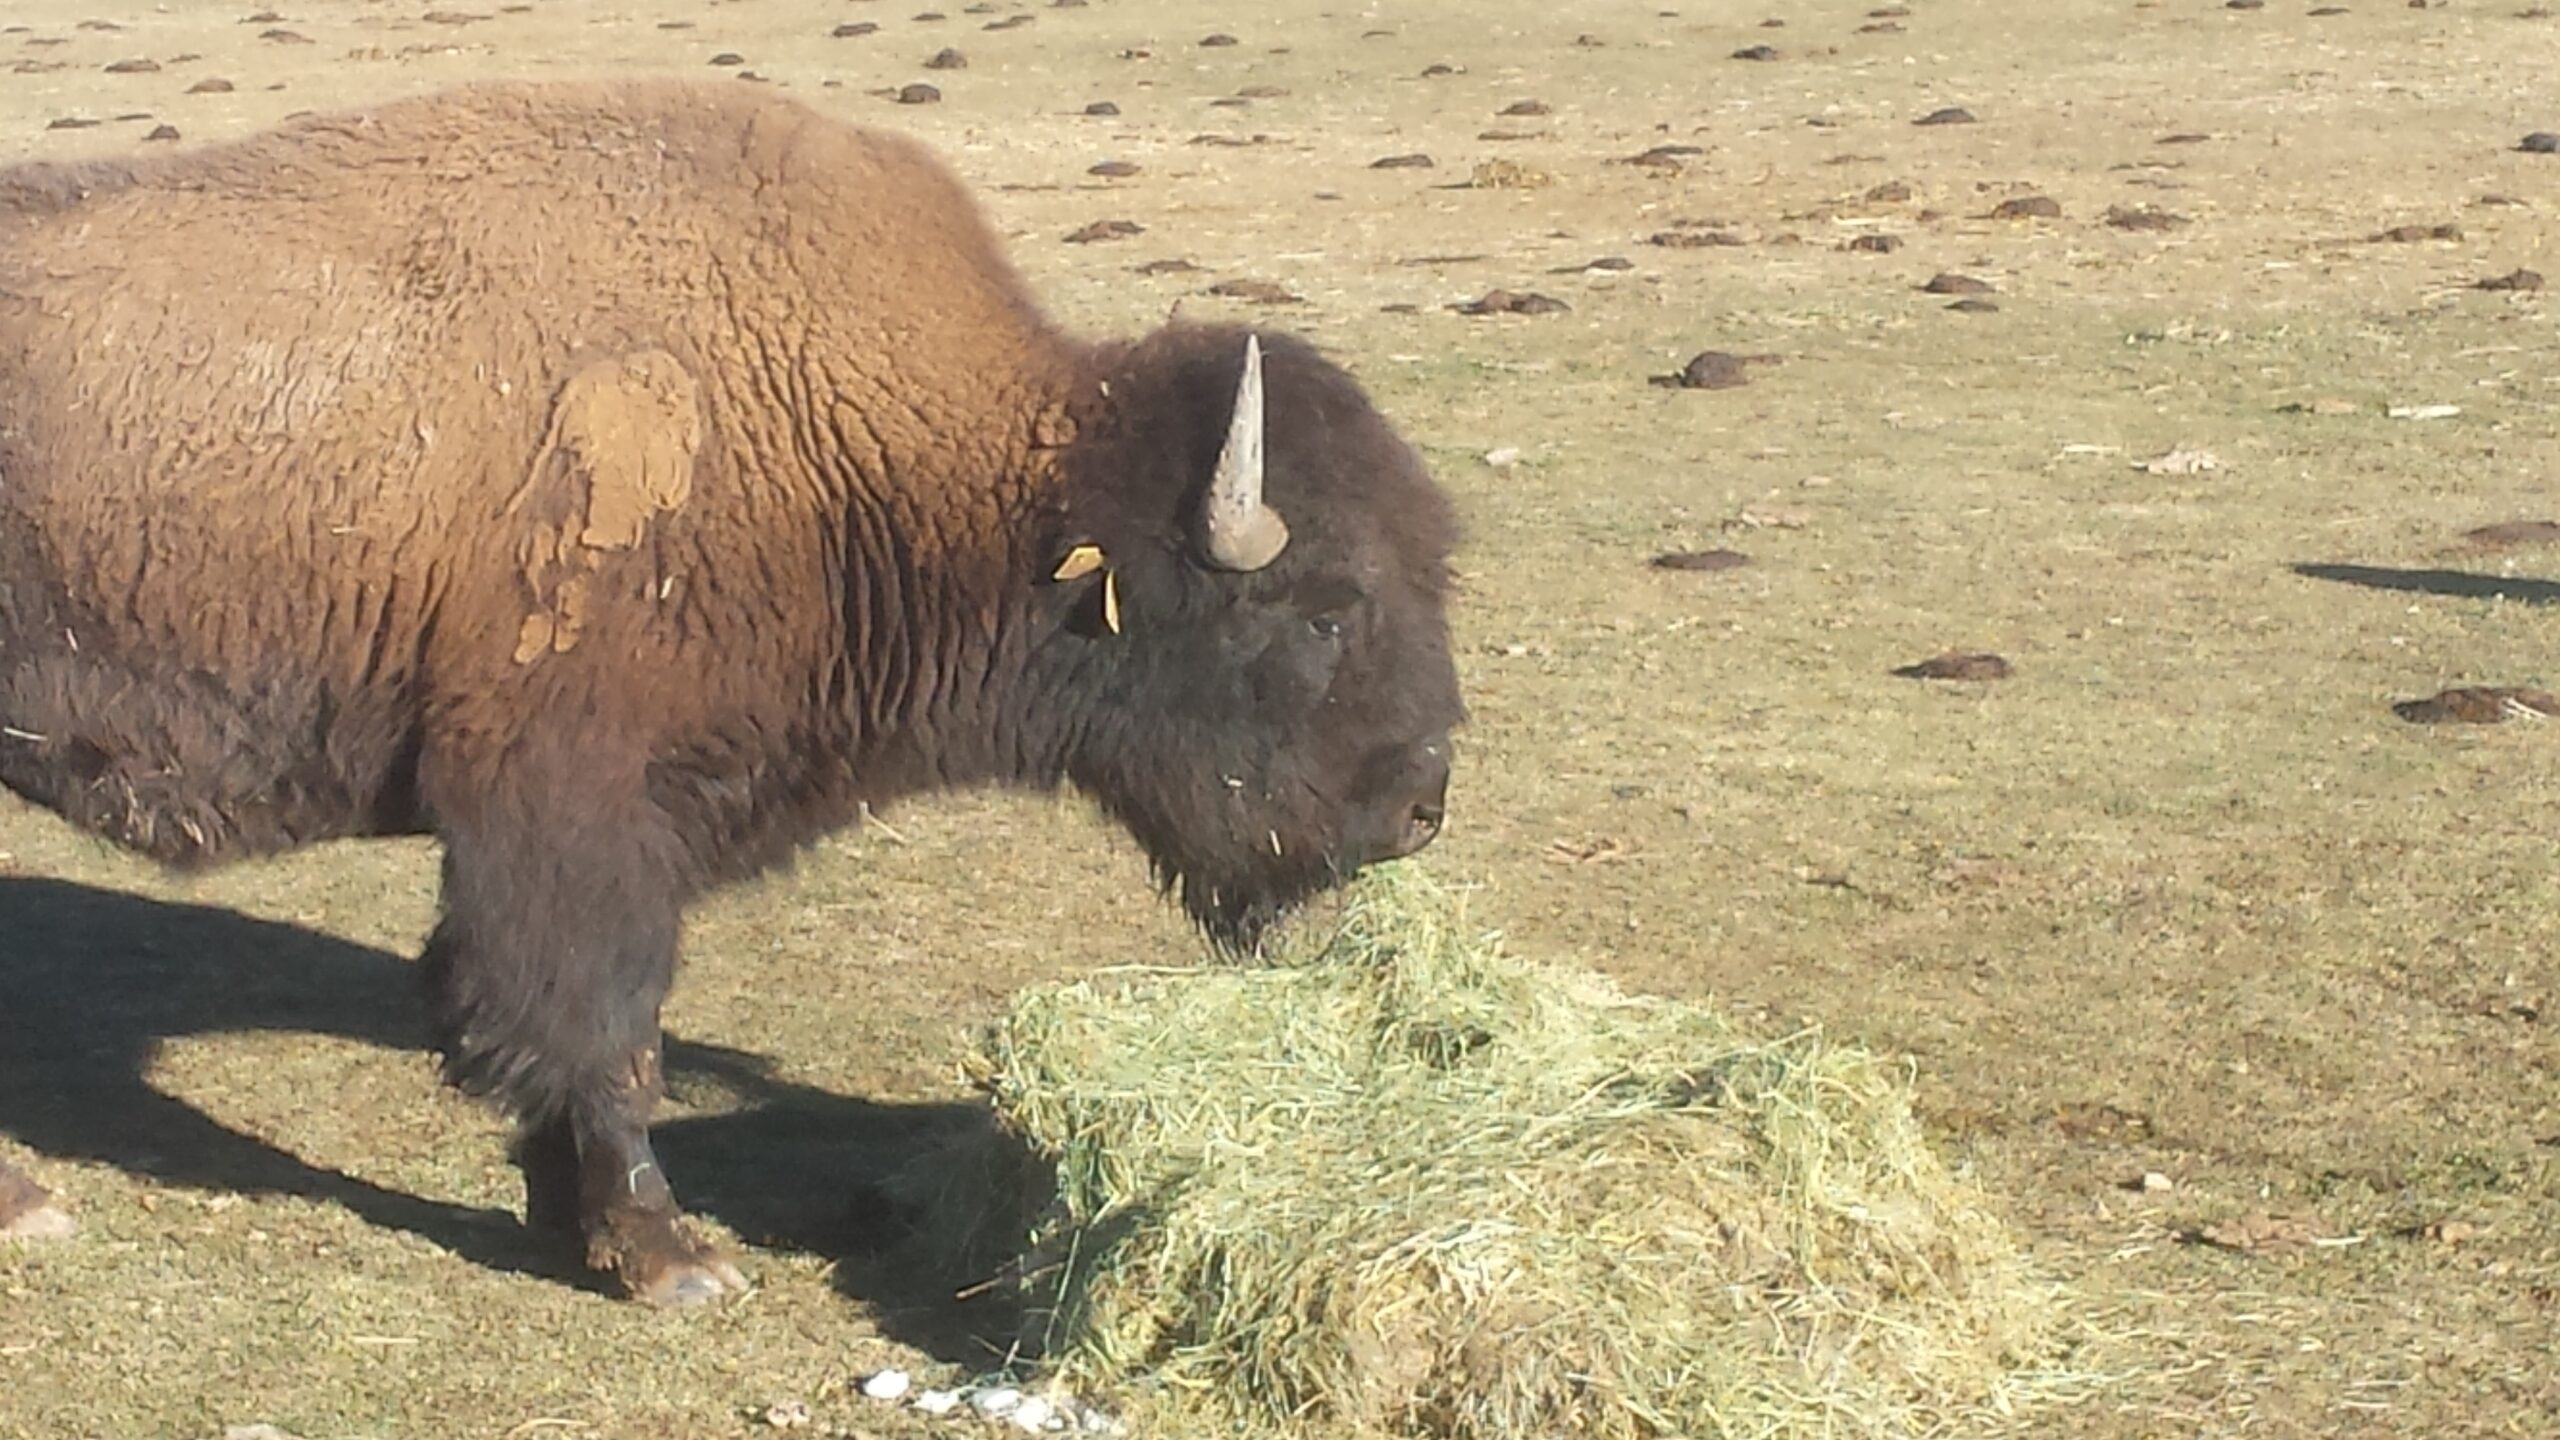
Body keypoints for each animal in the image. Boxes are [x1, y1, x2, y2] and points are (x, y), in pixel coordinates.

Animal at [0, 79, 1464, 1304]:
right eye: (1326, 607)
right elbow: (600, 1026)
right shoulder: (574, 818)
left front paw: (571, 1222)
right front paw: (668, 1259)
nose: (1421, 809)